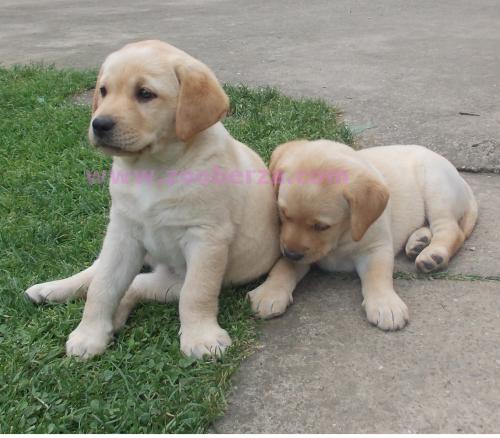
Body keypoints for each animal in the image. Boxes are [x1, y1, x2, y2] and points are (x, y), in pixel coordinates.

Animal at [24, 39, 282, 358]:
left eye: (145, 94)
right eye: (103, 91)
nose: (99, 124)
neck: (152, 167)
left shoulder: (206, 238)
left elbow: (196, 293)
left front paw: (201, 337)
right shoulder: (122, 233)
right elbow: (103, 286)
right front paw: (88, 334)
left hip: (170, 280)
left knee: (137, 286)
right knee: (95, 272)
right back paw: (50, 289)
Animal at [249, 140, 476, 328]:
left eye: (321, 226)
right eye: (282, 214)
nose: (291, 253)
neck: (342, 237)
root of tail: (461, 178)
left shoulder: (375, 247)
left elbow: (378, 273)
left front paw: (385, 304)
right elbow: (283, 267)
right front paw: (269, 291)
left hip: (436, 190)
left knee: (450, 229)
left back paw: (433, 255)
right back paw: (419, 241)